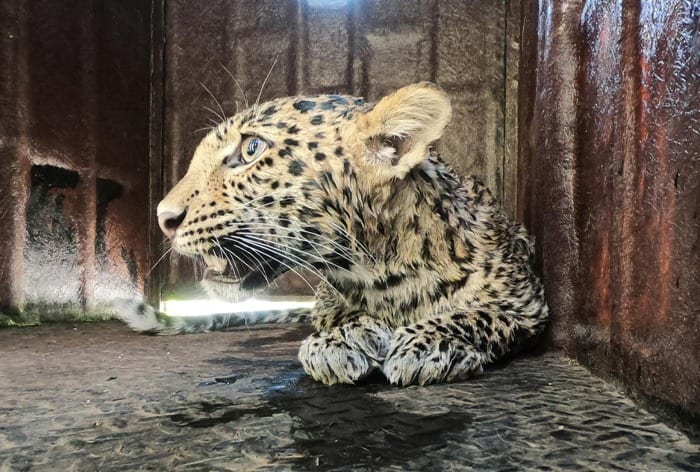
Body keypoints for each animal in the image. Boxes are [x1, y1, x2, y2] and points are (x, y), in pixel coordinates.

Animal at [118, 82, 548, 386]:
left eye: (252, 148)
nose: (164, 217)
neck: (383, 271)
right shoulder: (329, 301)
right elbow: (341, 315)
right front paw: (341, 341)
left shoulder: (527, 306)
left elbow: (477, 315)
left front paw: (430, 344)